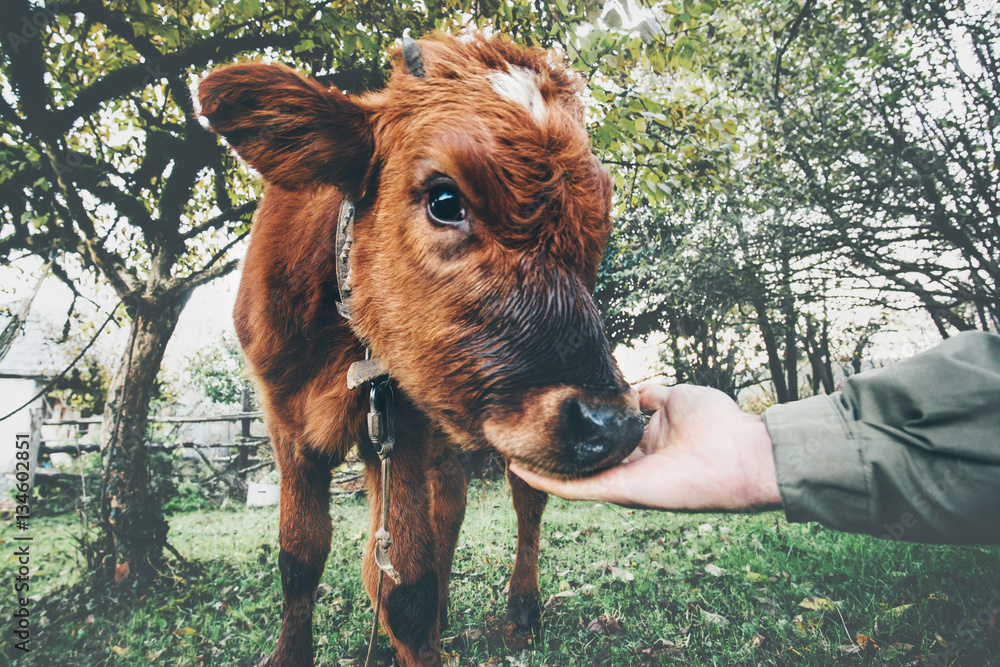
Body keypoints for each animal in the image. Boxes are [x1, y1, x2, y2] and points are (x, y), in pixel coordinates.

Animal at [195, 33, 644, 667]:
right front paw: (291, 652)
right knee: (450, 502)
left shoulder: (399, 419)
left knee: (523, 501)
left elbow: (405, 582)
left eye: (597, 227)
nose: (614, 424)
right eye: (445, 199)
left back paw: (522, 613)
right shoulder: (284, 420)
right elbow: (300, 555)